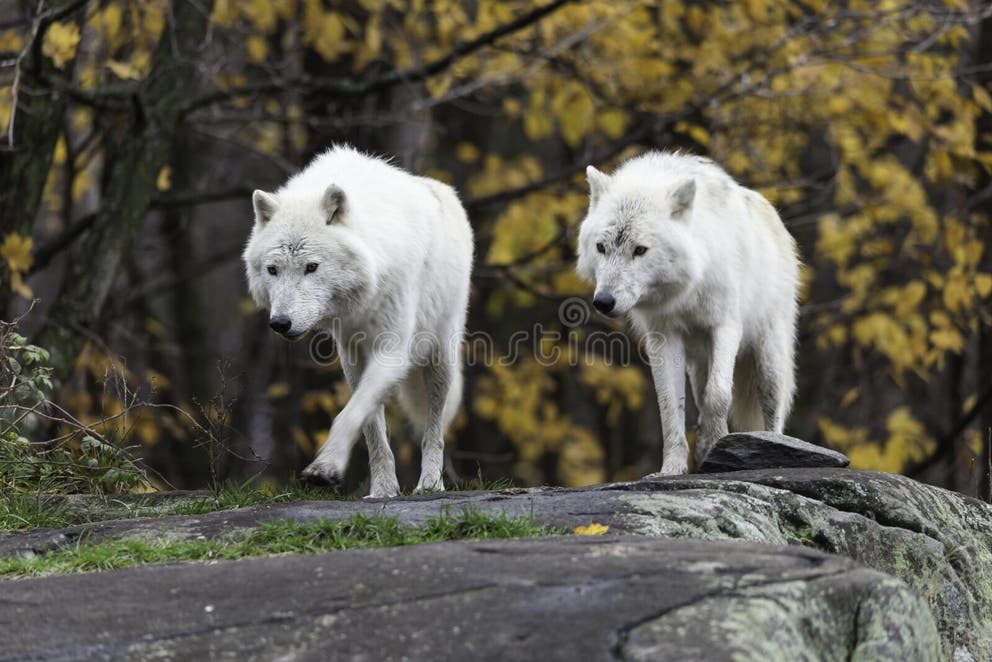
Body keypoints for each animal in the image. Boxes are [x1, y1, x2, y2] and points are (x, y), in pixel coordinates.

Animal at [243, 145, 474, 497]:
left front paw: (326, 467)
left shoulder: (392, 349)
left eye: (312, 267)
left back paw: (430, 484)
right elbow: (371, 428)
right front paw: (382, 490)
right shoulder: (351, 352)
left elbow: (350, 414)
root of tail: (444, 190)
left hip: (441, 356)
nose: (280, 323)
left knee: (433, 430)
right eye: (272, 270)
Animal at [576, 151, 799, 476]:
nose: (603, 302)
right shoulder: (663, 336)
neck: (686, 290)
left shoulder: (725, 327)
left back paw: (773, 448)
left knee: (771, 410)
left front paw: (716, 446)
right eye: (601, 247)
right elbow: (671, 406)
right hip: (698, 365)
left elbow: (718, 396)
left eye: (640, 250)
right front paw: (672, 468)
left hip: (769, 358)